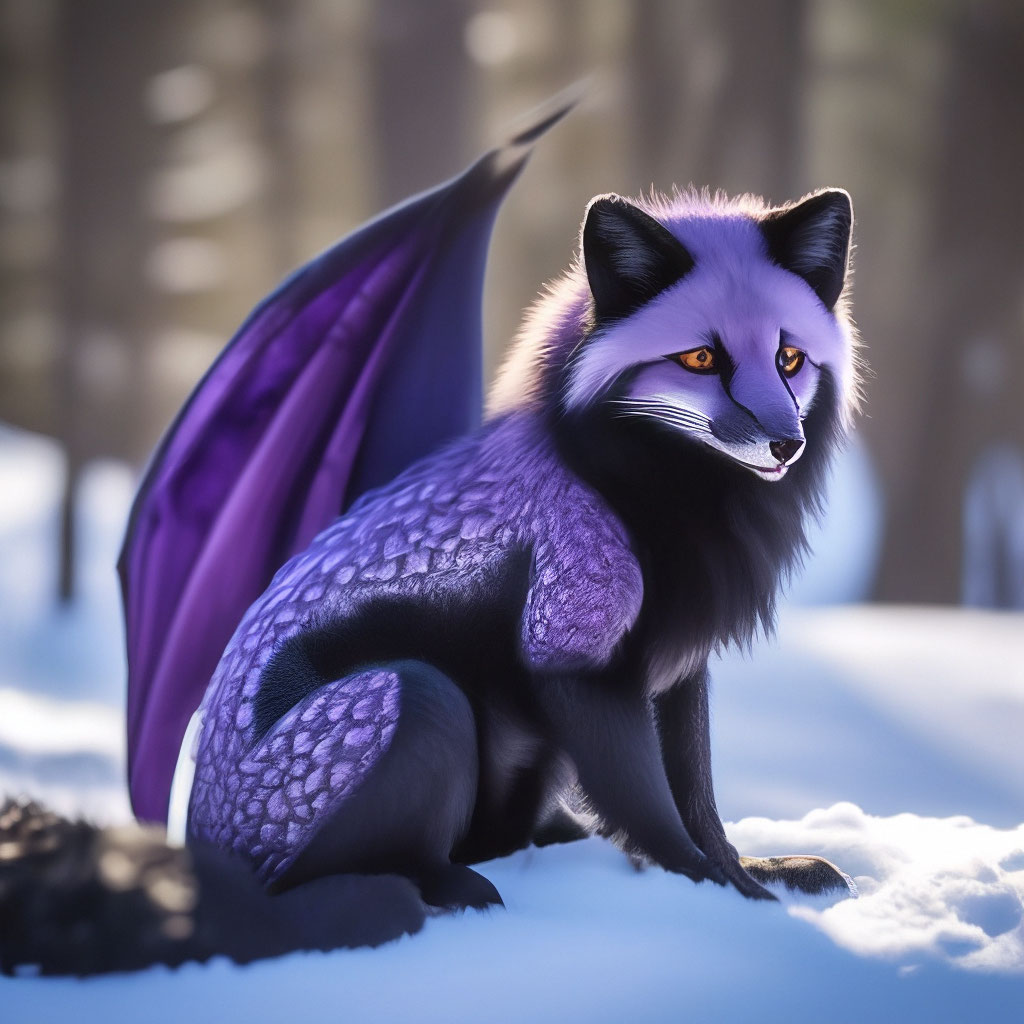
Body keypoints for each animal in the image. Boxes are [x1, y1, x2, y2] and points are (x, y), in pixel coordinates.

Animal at [0, 118, 859, 975]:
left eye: (788, 358)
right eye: (701, 358)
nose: (784, 443)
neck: (650, 494)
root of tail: (202, 845)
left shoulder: (676, 665)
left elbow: (697, 793)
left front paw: (751, 870)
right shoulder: (576, 653)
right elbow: (651, 805)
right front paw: (725, 894)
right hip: (417, 700)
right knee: (345, 873)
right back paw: (441, 890)